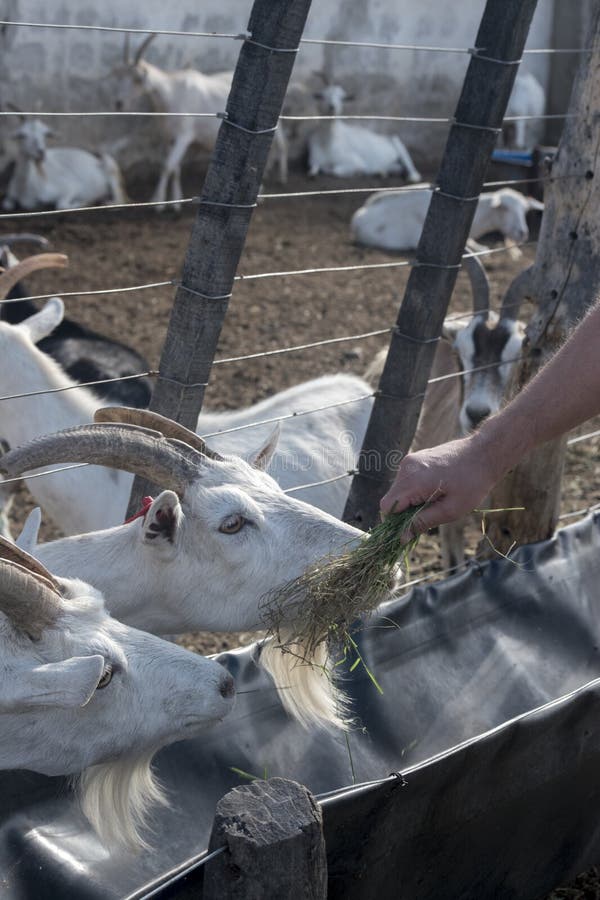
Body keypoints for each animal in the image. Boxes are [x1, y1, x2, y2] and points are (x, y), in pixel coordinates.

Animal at [111, 35, 287, 210]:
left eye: (137, 79)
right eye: (119, 76)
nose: (119, 103)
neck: (172, 92)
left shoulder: (184, 135)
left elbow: (167, 166)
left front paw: (157, 201)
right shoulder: (168, 137)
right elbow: (174, 167)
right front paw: (175, 201)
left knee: (280, 144)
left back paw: (278, 180)